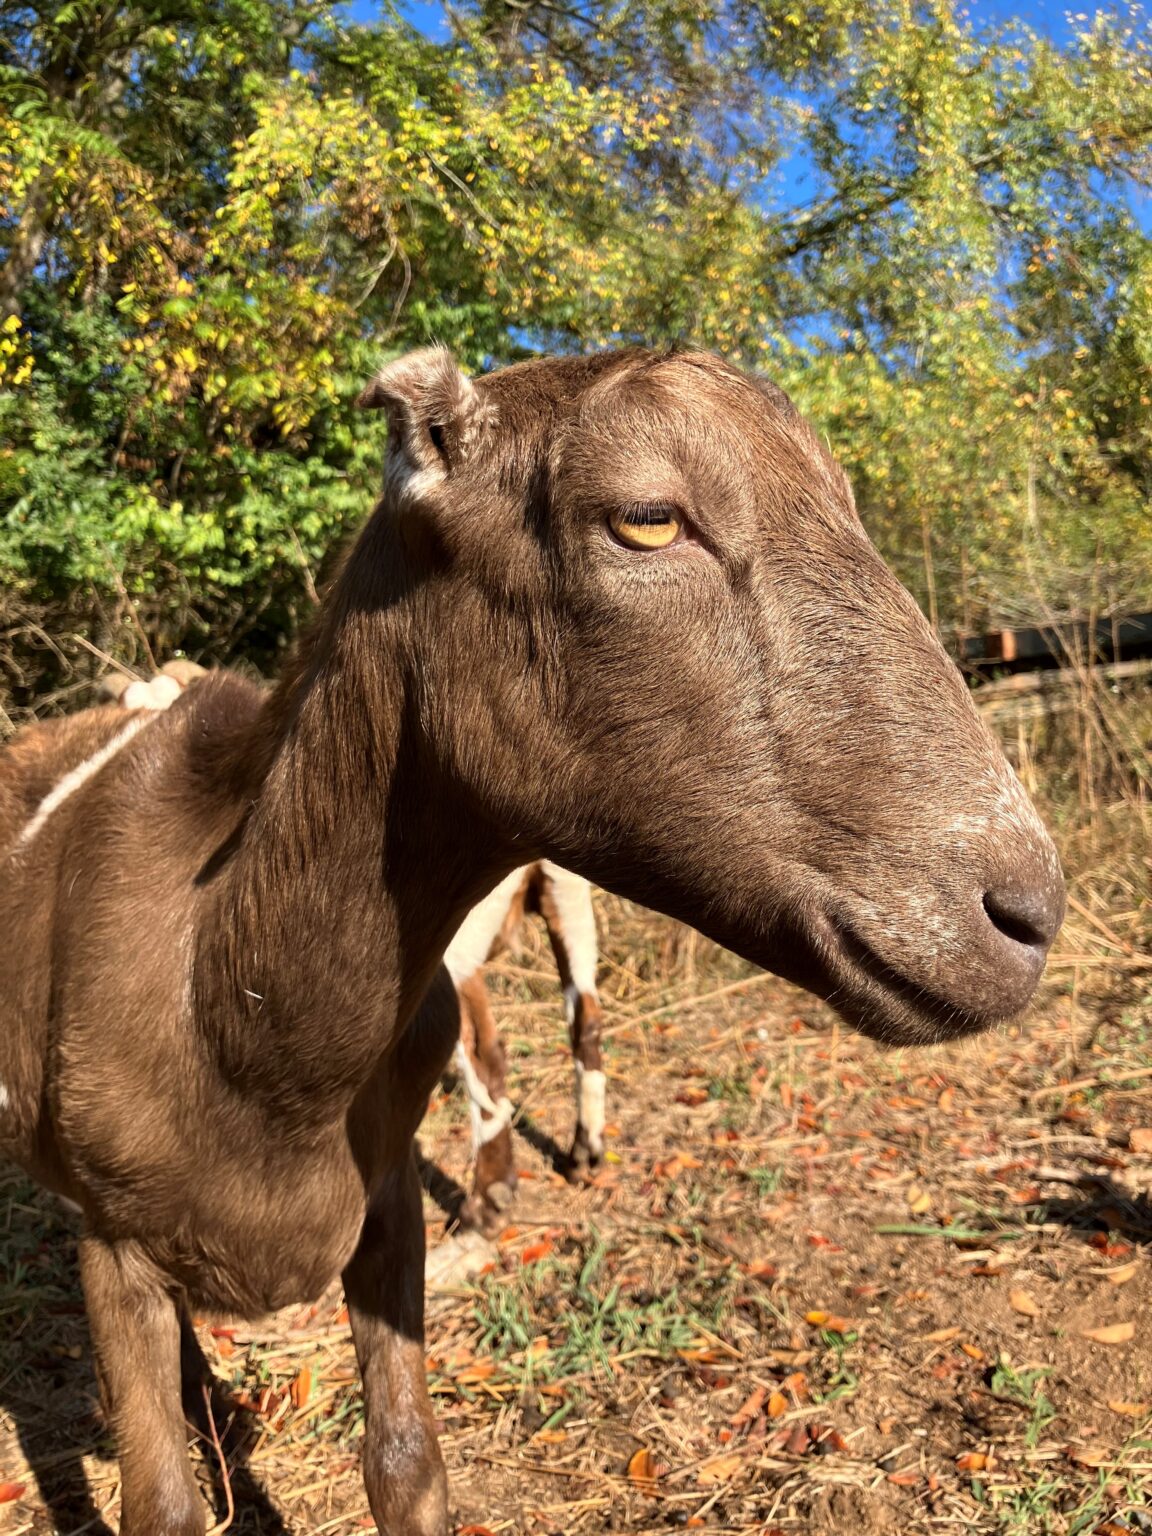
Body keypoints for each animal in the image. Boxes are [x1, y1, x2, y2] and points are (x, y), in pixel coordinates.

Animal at [0, 346, 1064, 1535]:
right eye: (648, 518)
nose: (1025, 912)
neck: (234, 1013)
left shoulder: (385, 1208)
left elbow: (407, 1467)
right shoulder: (108, 1244)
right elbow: (164, 1509)